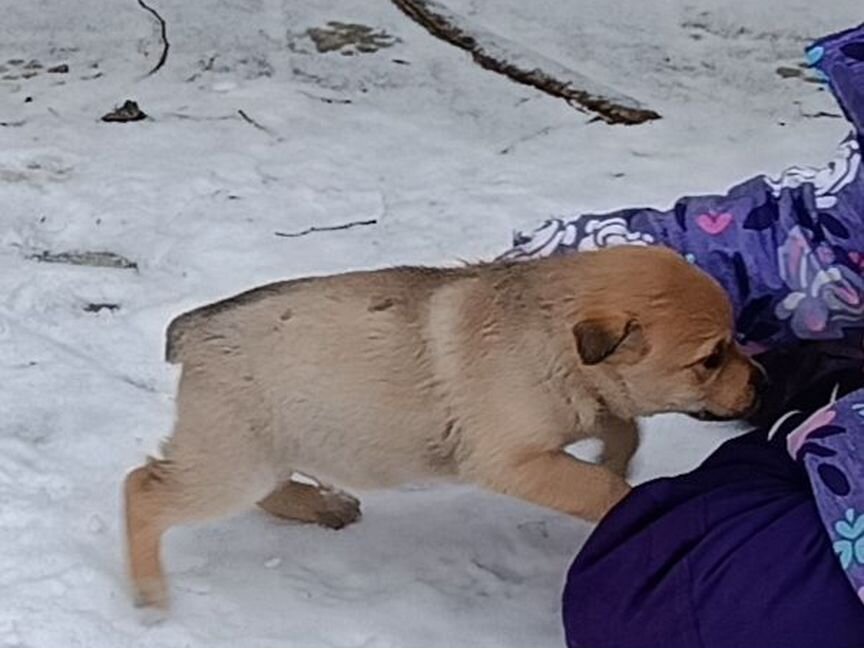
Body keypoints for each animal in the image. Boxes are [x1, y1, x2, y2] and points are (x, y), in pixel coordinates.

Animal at [125, 247, 760, 608]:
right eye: (711, 358)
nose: (762, 381)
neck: (545, 333)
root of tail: (193, 331)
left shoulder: (590, 407)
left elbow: (625, 428)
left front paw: (617, 458)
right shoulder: (513, 460)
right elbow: (600, 485)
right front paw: (628, 500)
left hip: (266, 448)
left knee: (268, 491)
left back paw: (323, 506)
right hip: (232, 459)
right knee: (143, 490)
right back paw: (150, 590)